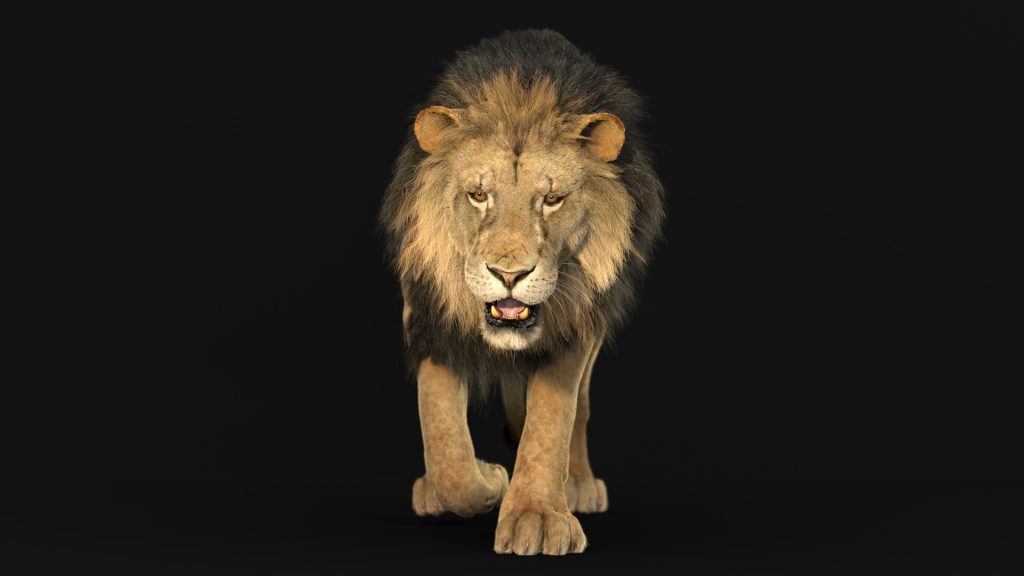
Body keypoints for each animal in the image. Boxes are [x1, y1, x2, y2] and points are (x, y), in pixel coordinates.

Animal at [380, 30, 665, 555]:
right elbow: (444, 438)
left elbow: (551, 420)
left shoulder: (575, 323)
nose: (508, 274)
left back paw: (578, 484)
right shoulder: (429, 315)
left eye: (551, 199)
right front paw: (490, 479)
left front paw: (536, 514)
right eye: (478, 195)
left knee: (581, 409)